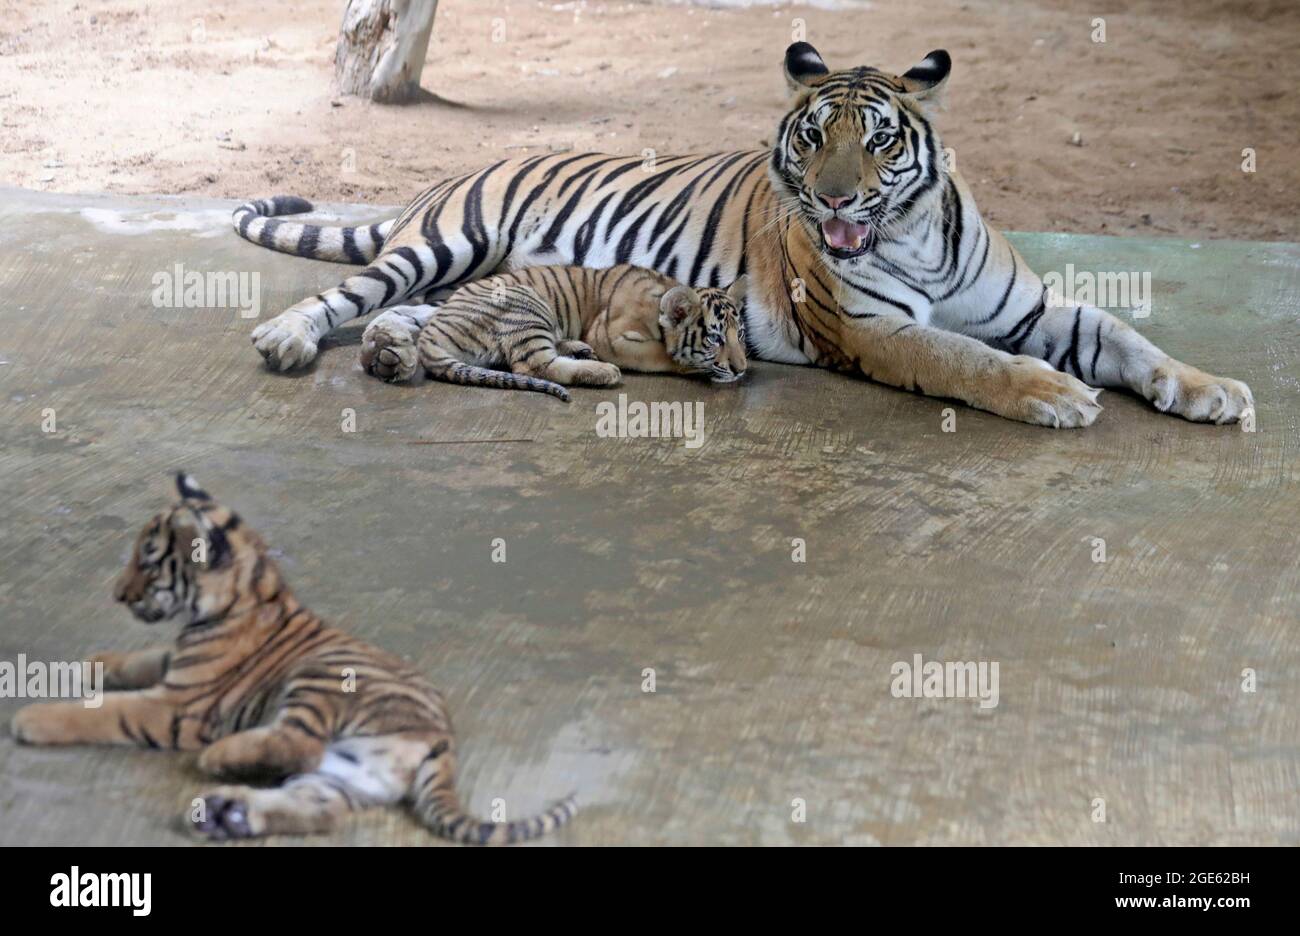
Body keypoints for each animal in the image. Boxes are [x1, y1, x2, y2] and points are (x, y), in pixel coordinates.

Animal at [10, 473, 576, 845]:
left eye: (148, 562)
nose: (117, 595)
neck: (247, 593)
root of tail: (446, 740)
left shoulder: (178, 706)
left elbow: (102, 710)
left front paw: (30, 720)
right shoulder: (172, 665)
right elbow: (136, 660)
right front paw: (82, 664)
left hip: (322, 677)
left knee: (299, 743)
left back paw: (219, 763)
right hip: (347, 776)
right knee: (318, 808)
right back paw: (229, 815)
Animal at [359, 263, 748, 401]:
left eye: (740, 335)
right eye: (714, 338)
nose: (743, 369)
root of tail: (432, 334)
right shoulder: (612, 336)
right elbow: (663, 355)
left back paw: (577, 349)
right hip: (527, 305)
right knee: (534, 365)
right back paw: (601, 371)